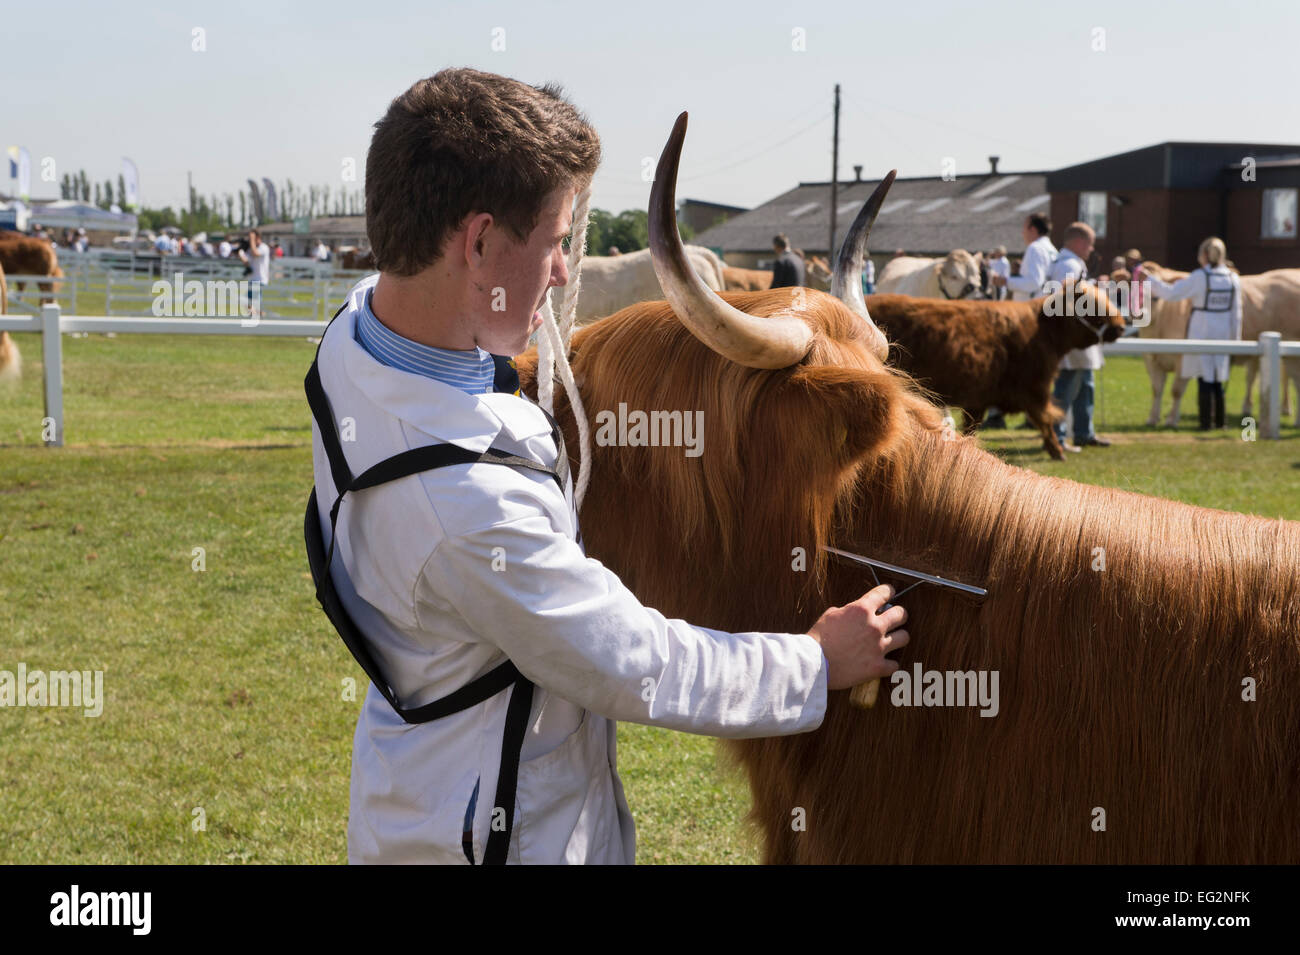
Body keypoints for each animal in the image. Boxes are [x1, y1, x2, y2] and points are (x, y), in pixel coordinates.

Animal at [864, 288, 1126, 460]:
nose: (1122, 326)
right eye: (1091, 305)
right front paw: (1057, 451)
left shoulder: (979, 399)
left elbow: (972, 428)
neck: (1043, 331)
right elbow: (1046, 419)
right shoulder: (1035, 388)